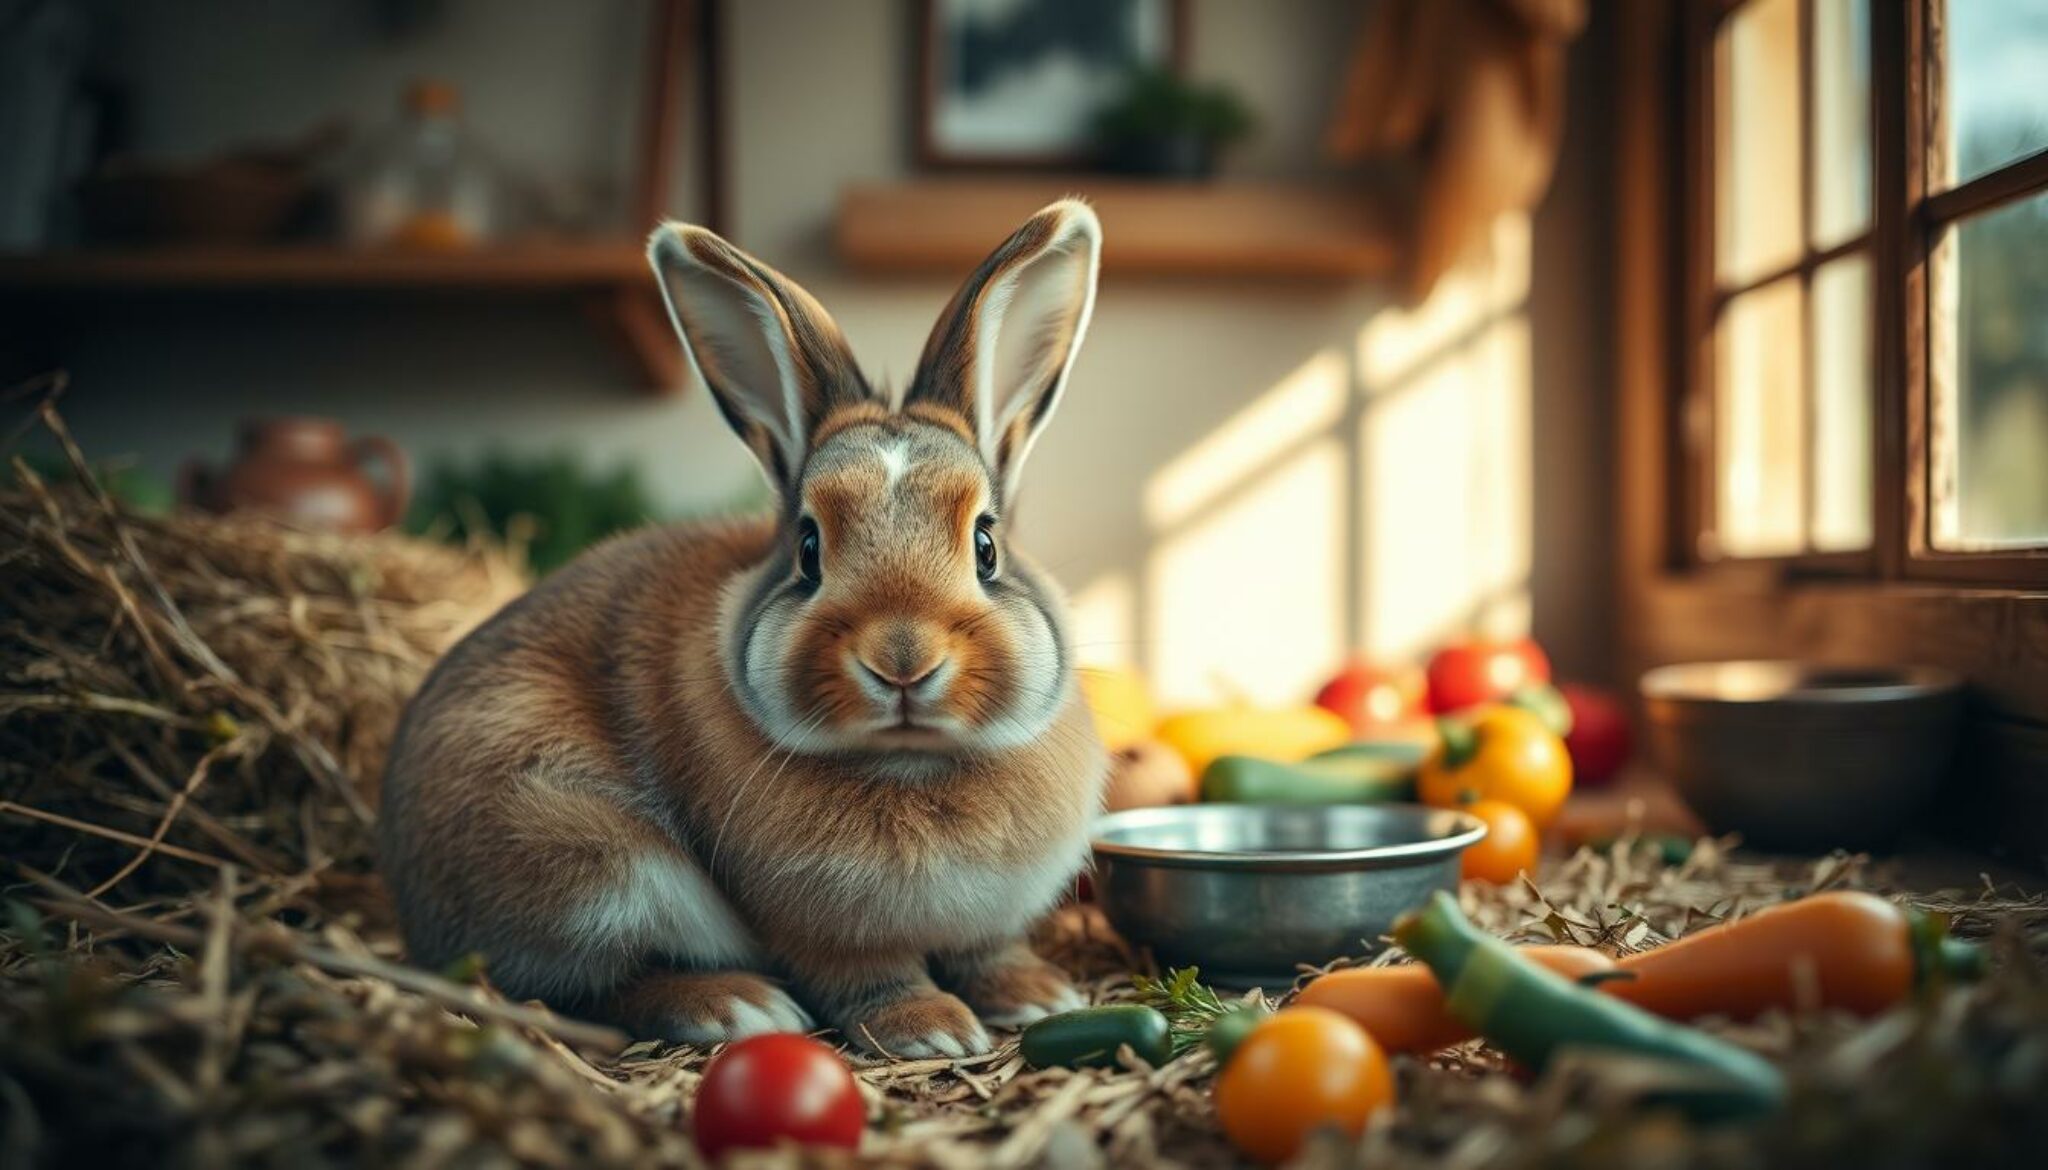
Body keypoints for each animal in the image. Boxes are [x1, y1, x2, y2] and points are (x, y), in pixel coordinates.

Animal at [376, 200, 1109, 1057]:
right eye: (808, 549)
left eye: (987, 545)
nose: (902, 660)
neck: (911, 762)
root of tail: (412, 898)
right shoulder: (821, 928)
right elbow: (869, 976)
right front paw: (932, 1030)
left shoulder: (987, 922)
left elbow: (989, 950)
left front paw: (1038, 995)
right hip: (588, 864)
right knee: (591, 989)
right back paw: (736, 1007)